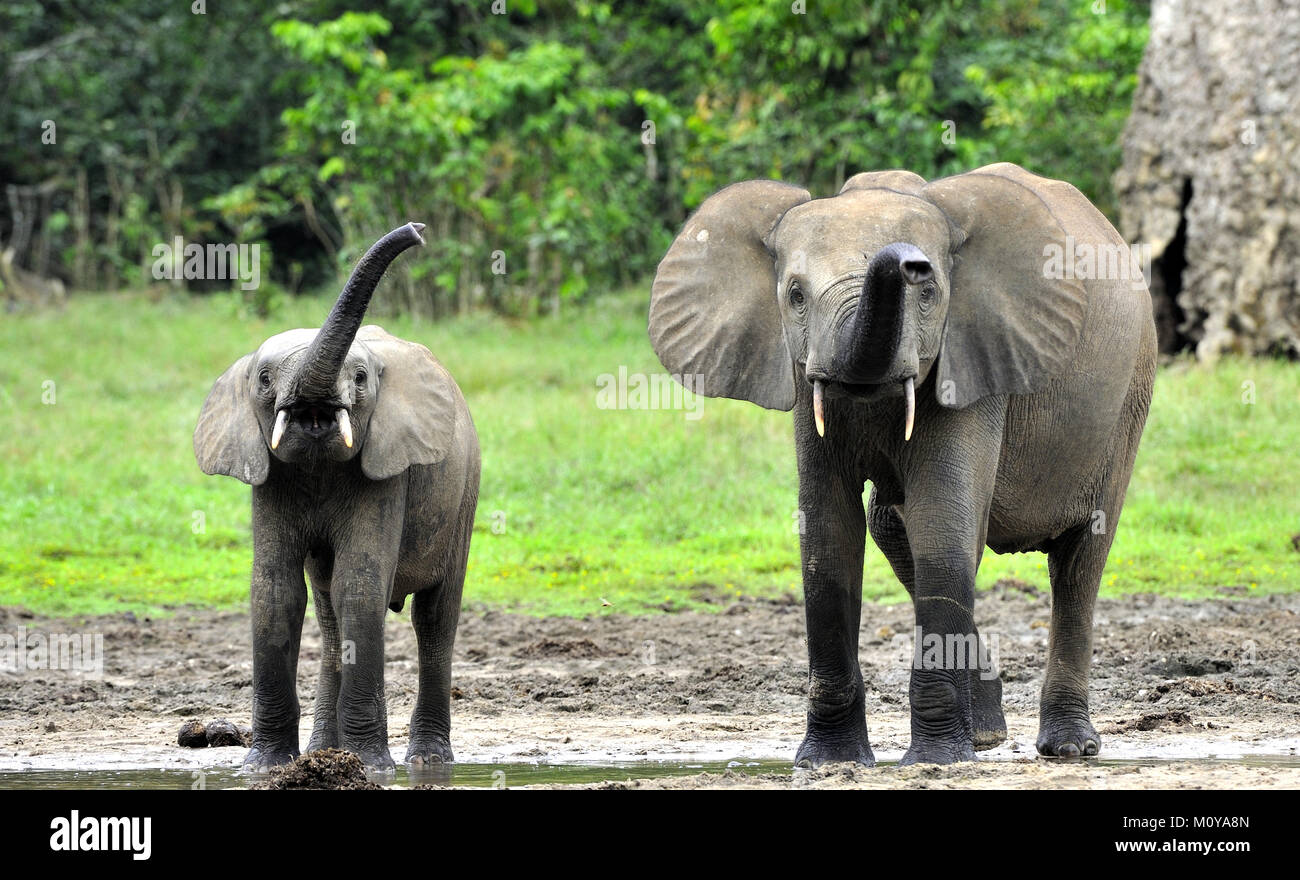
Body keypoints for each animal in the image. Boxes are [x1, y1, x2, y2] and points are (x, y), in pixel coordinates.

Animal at [194, 222, 480, 772]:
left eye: (362, 379)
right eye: (265, 379)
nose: (417, 231)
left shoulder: (387, 470)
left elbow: (360, 584)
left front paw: (371, 767)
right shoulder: (270, 476)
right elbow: (276, 591)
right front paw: (265, 767)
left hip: (466, 495)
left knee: (434, 618)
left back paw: (426, 761)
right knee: (327, 618)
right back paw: (324, 753)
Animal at [649, 163, 1156, 766]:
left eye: (929, 289)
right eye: (795, 296)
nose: (911, 262)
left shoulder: (975, 356)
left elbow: (942, 527)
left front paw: (936, 761)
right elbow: (828, 539)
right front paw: (831, 762)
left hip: (1128, 400)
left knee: (1081, 559)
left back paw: (1069, 747)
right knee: (890, 526)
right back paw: (986, 735)